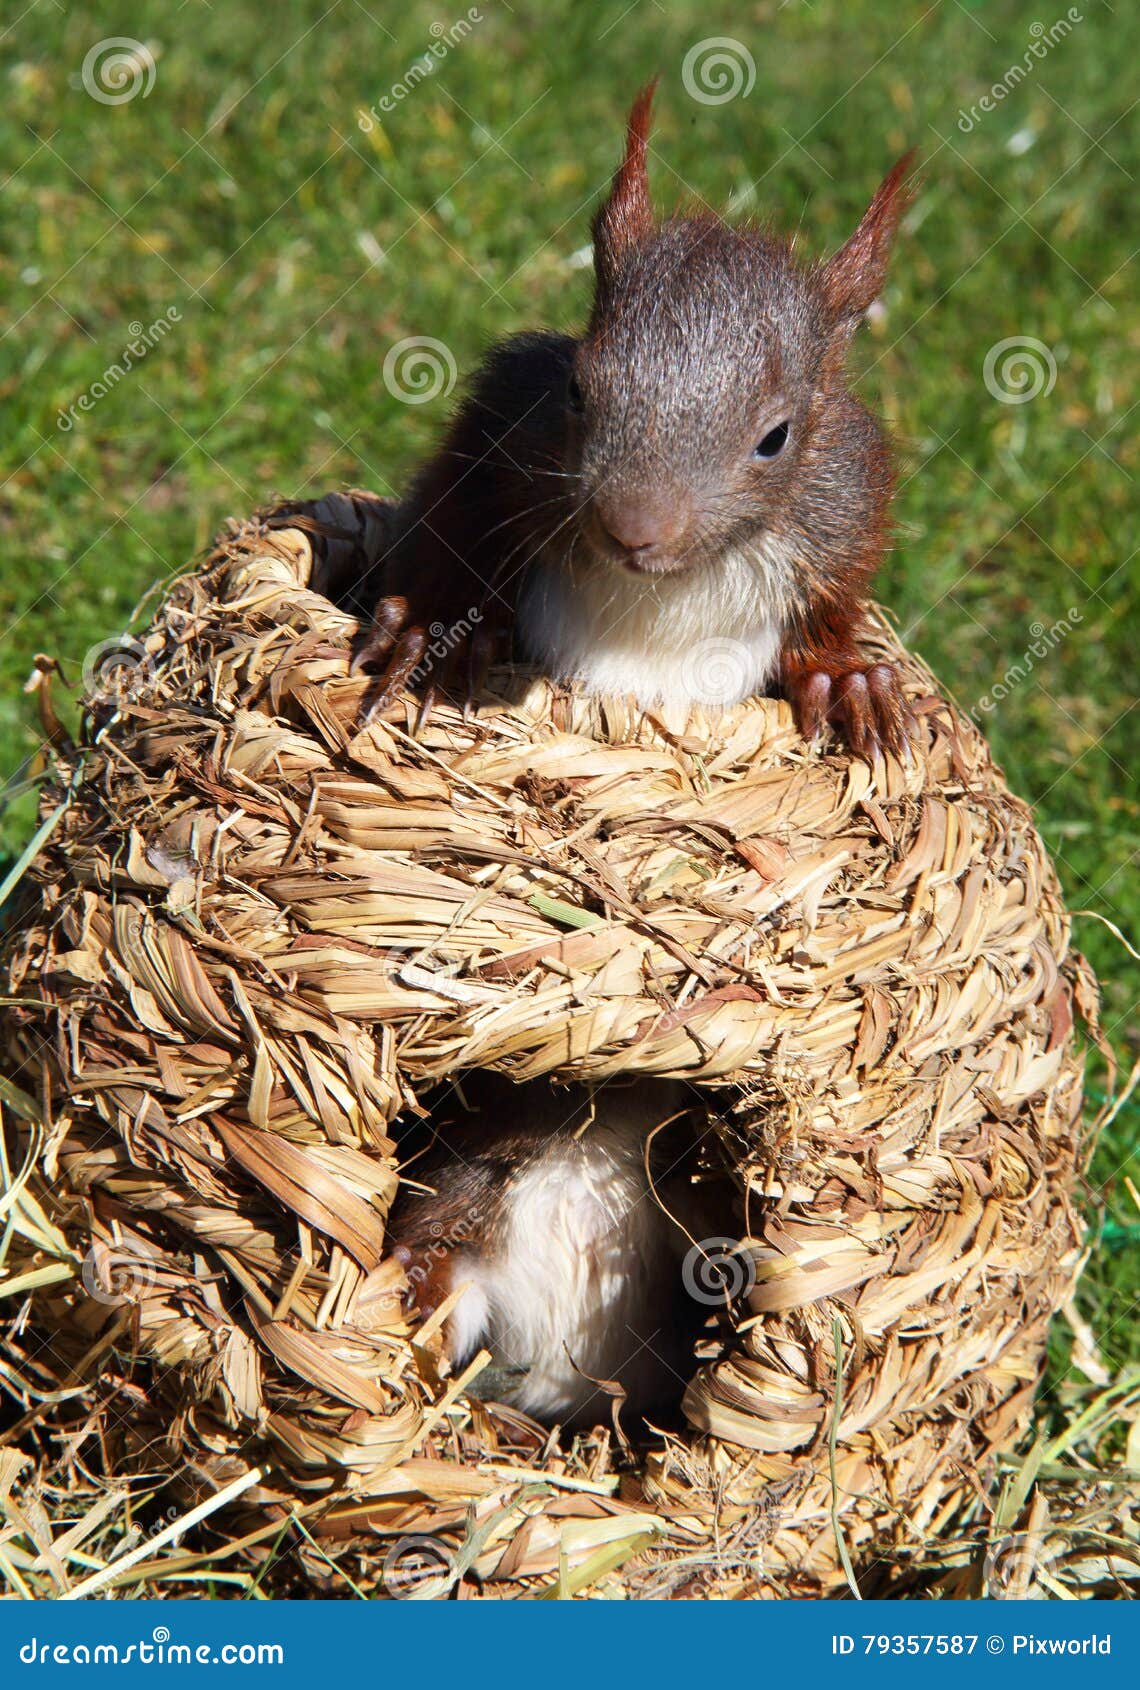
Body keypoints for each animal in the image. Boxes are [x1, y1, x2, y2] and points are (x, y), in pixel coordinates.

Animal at [354, 82, 915, 756]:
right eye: (575, 389)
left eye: (776, 439)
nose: (632, 530)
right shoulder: (503, 424)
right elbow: (455, 520)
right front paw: (443, 624)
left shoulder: (843, 504)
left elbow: (833, 603)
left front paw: (840, 678)